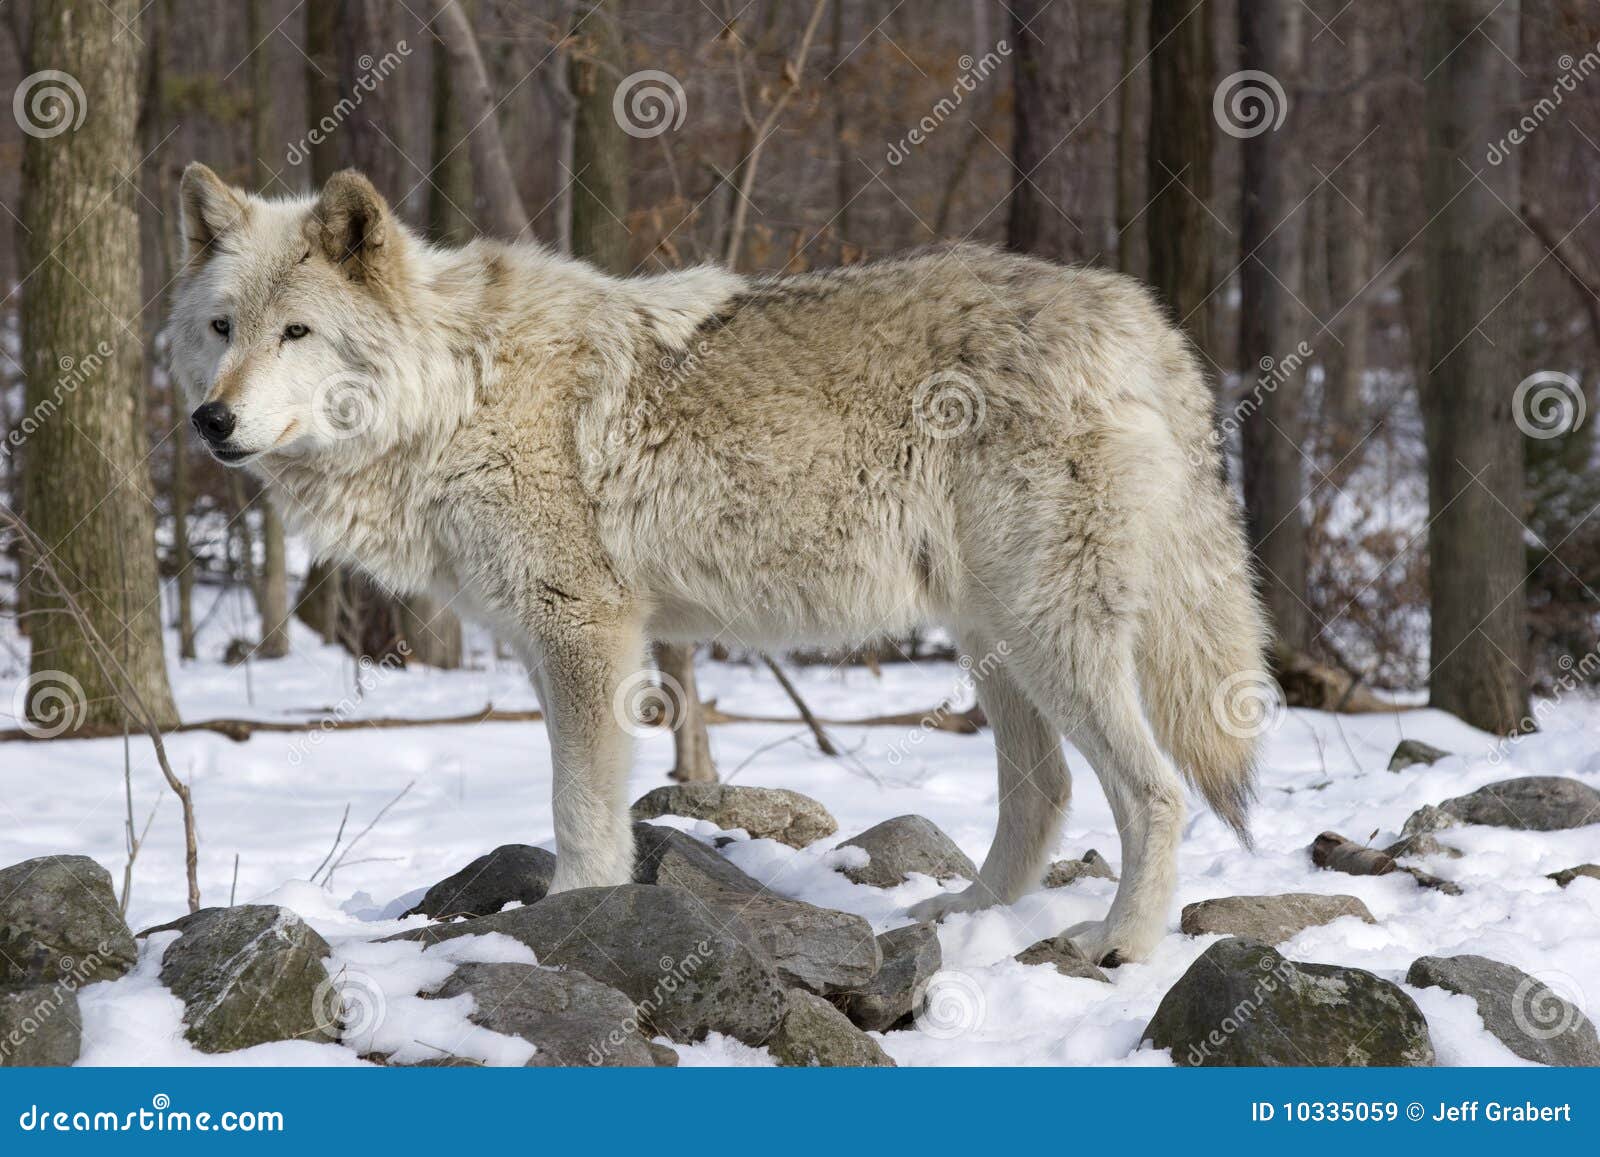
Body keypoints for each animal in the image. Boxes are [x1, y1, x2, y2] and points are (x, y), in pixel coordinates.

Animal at [168, 163, 1269, 964]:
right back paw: (968, 915)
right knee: (1041, 791)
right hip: (993, 638)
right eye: (223, 327)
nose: (210, 419)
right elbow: (590, 797)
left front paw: (569, 914)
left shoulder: (584, 631)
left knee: (1155, 792)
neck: (457, 389)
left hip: (1048, 637)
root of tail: (1138, 315)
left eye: (297, 331)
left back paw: (1120, 943)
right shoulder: (548, 643)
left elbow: (579, 806)